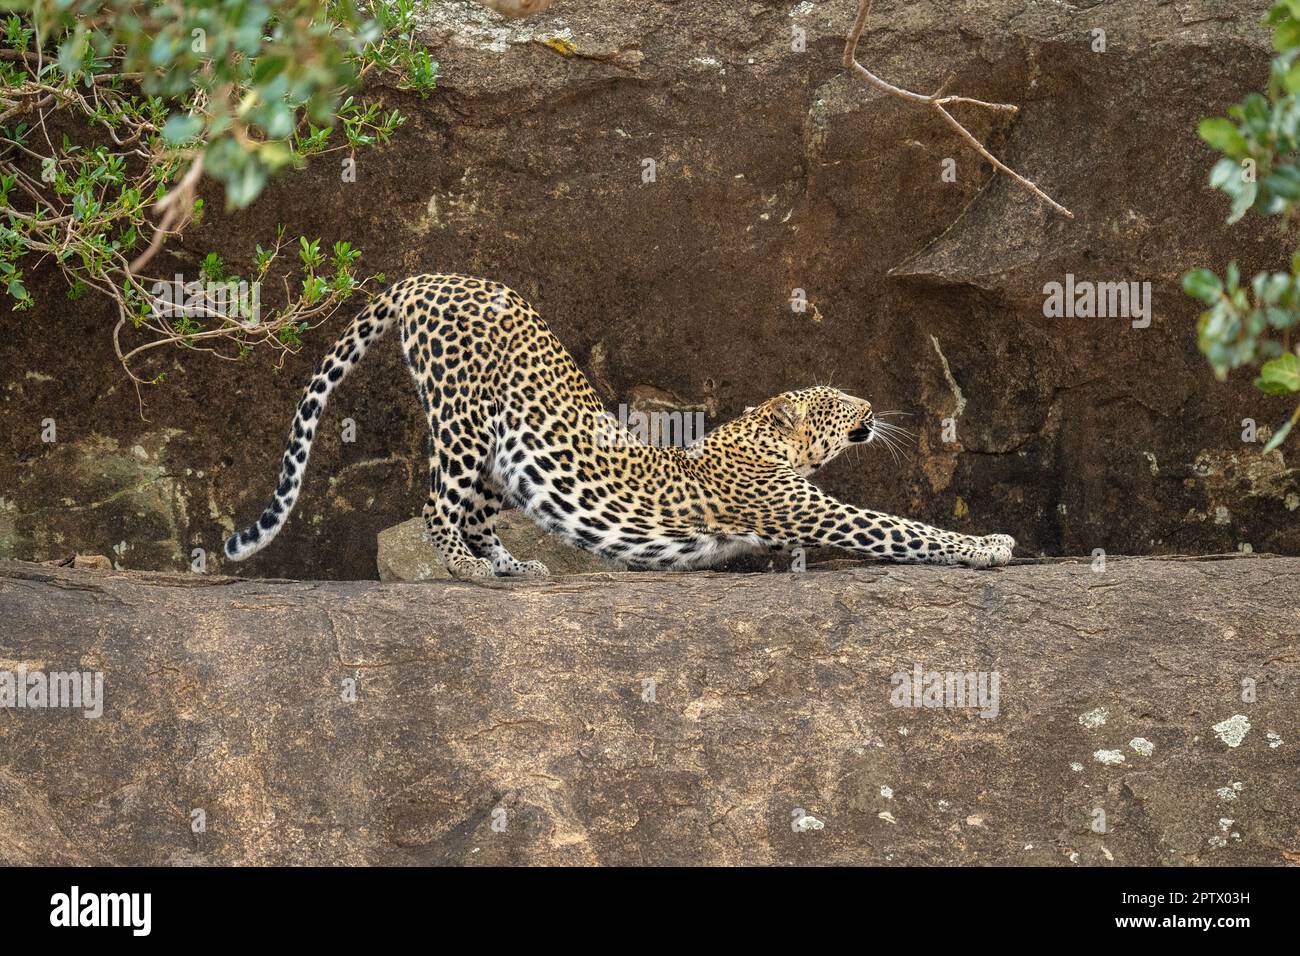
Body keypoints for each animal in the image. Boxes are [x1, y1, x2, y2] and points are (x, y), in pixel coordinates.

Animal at [224, 273, 1016, 578]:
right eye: (833, 401)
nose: (871, 410)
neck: (762, 438)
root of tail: (435, 277)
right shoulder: (804, 508)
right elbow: (903, 529)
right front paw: (989, 545)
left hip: (505, 457)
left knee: (475, 511)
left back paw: (512, 566)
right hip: (461, 418)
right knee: (436, 505)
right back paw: (466, 569)